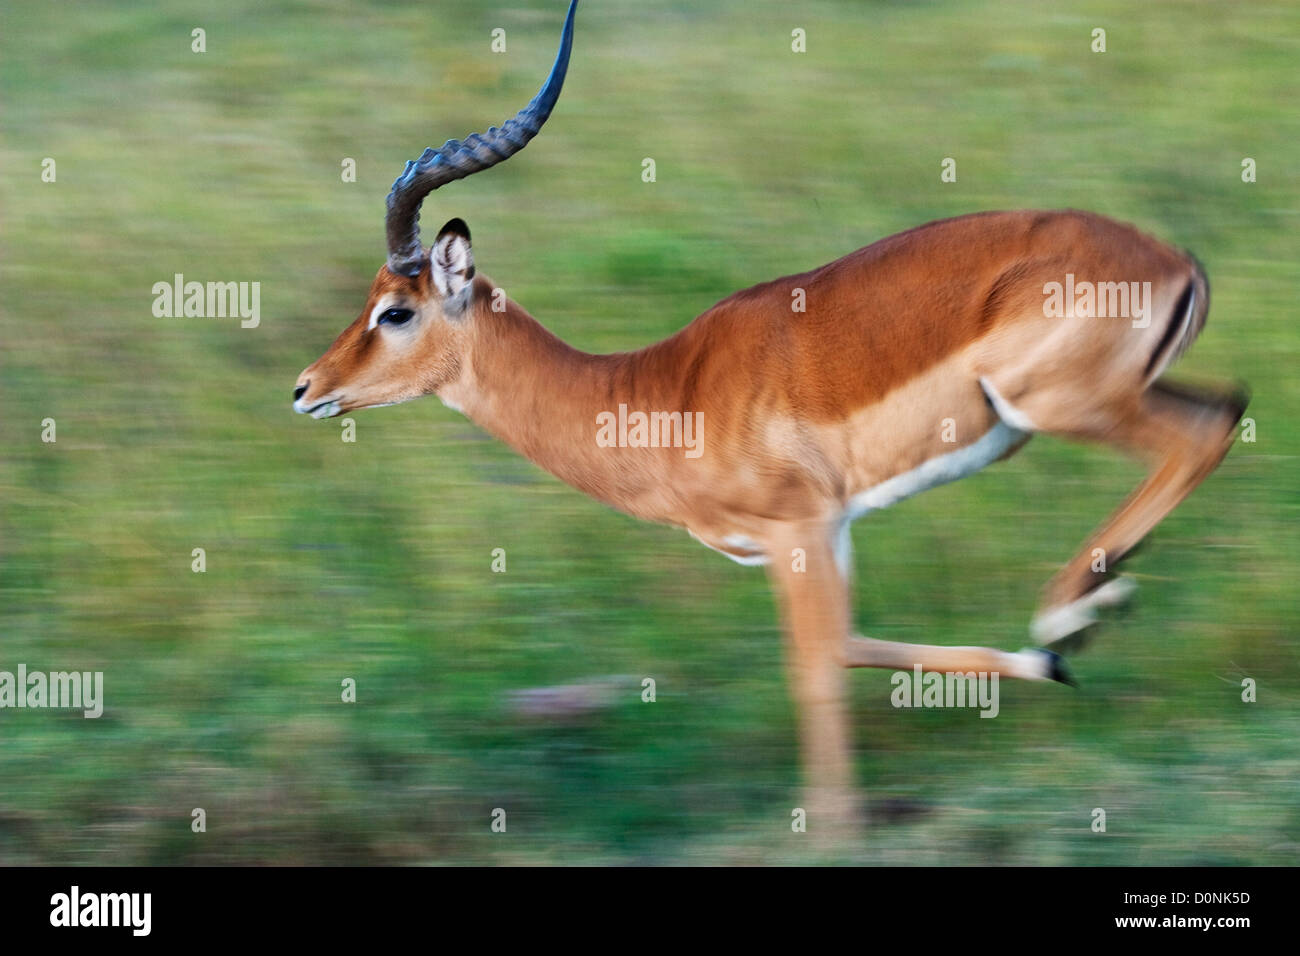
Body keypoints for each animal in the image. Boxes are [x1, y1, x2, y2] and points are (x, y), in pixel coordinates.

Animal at [293, 1, 1247, 825]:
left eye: (395, 310)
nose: (305, 388)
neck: (657, 396)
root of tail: (1172, 259)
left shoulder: (797, 530)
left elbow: (815, 668)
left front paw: (836, 831)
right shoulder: (829, 531)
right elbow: (849, 645)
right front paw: (1044, 667)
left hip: (1057, 405)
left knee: (1203, 435)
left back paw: (1067, 614)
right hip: (1110, 396)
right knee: (1228, 407)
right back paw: (1087, 611)